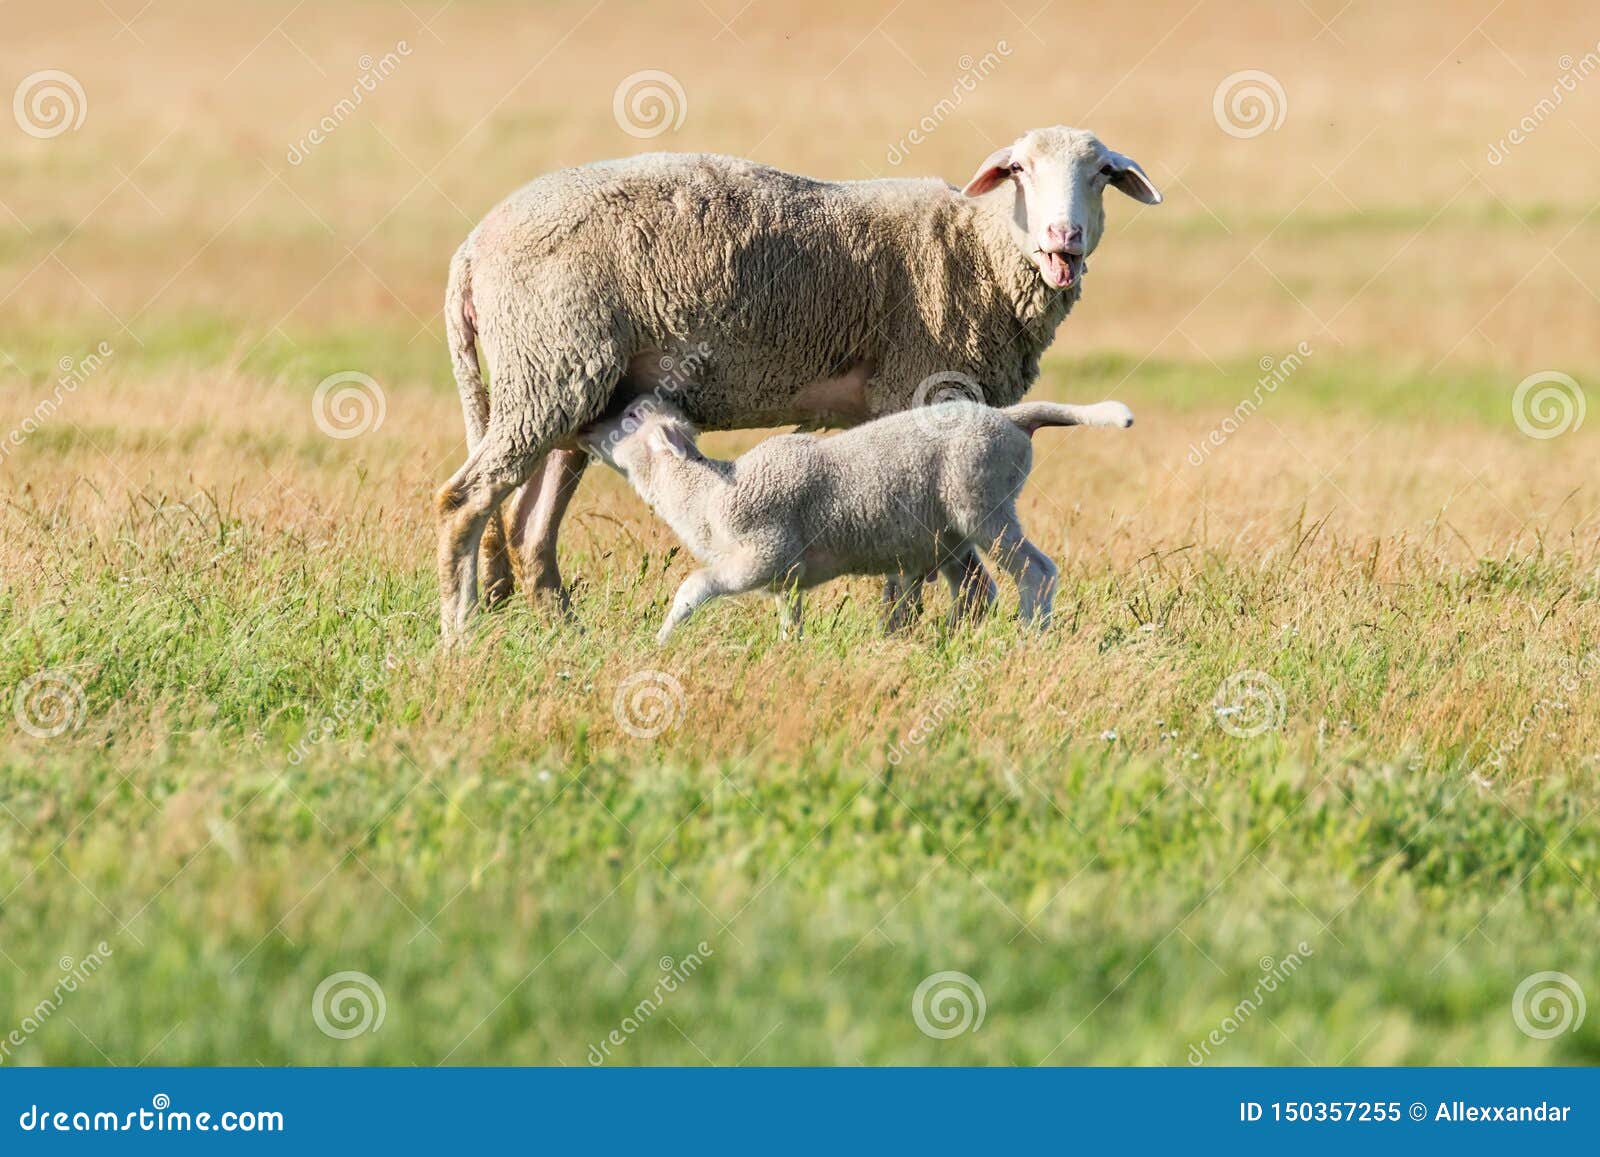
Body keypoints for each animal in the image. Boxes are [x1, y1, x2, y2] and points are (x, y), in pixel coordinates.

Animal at [578, 396, 1136, 642]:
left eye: (632, 417)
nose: (586, 427)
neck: (709, 493)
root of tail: (1010, 417)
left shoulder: (761, 554)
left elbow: (693, 585)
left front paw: (661, 641)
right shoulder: (784, 576)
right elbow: (790, 618)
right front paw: (791, 652)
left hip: (985, 506)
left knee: (1036, 572)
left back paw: (1029, 637)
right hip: (951, 532)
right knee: (979, 590)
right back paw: (951, 641)